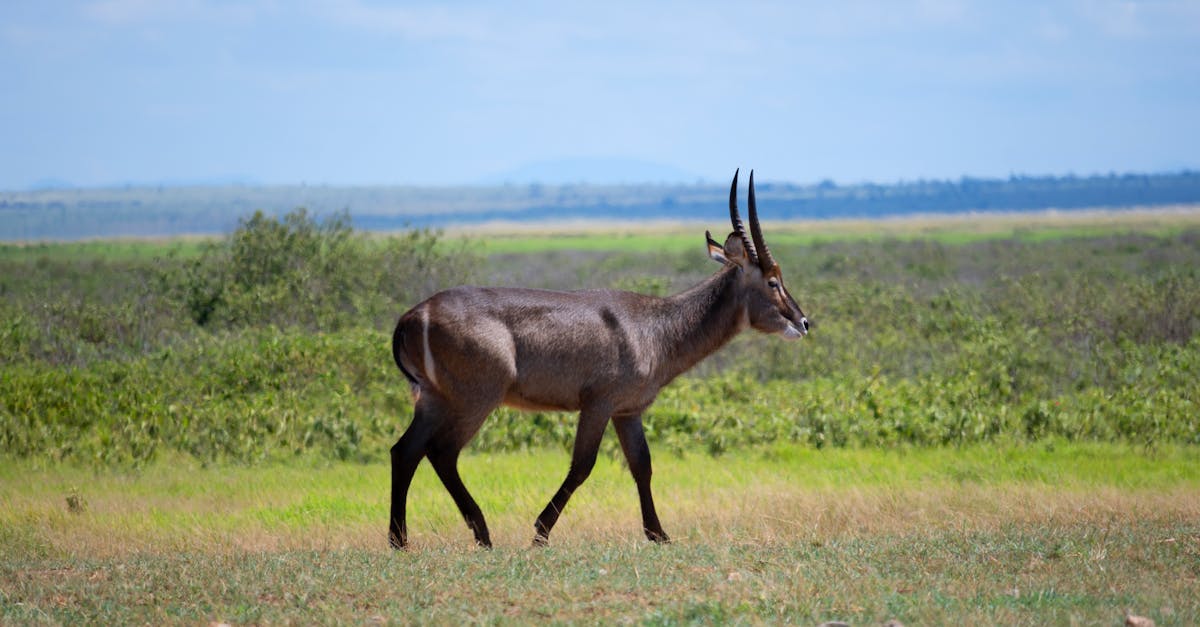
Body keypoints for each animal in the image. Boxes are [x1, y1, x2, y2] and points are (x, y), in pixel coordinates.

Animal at [388, 168, 811, 542]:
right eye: (773, 280)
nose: (804, 322)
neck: (655, 327)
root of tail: (414, 315)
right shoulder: (598, 404)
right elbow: (582, 466)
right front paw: (540, 532)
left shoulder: (628, 411)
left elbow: (642, 465)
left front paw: (658, 535)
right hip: (475, 399)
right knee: (441, 451)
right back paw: (482, 534)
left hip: (434, 400)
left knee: (405, 450)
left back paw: (400, 540)